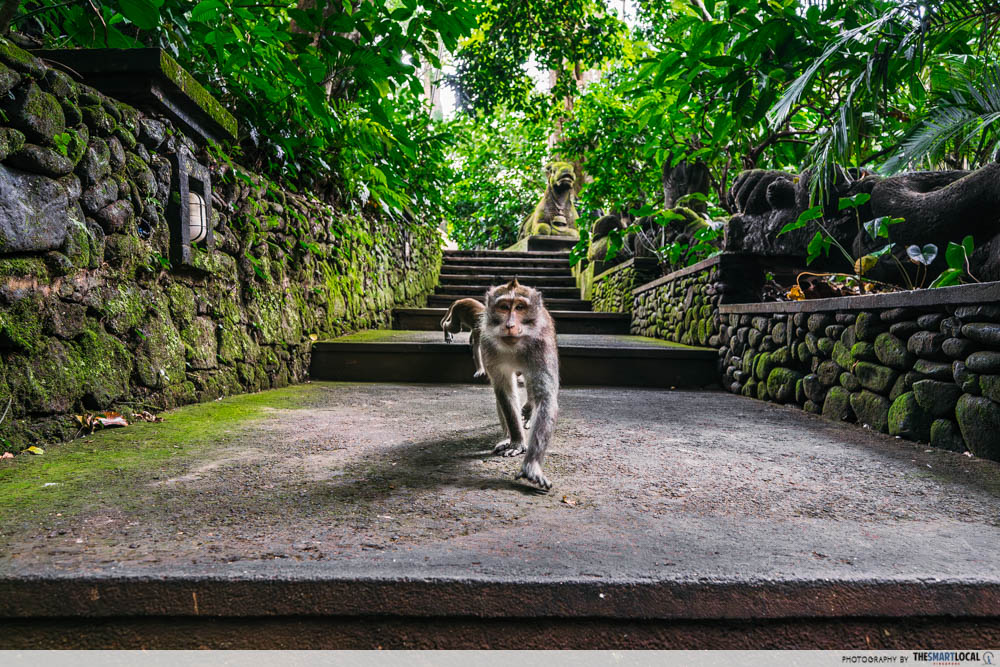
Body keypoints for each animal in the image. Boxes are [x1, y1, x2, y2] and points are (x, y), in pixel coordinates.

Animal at [479, 278, 559, 490]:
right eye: (504, 307)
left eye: (520, 307)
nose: (510, 325)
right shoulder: (487, 344)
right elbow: (504, 391)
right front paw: (516, 442)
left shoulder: (542, 345)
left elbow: (545, 396)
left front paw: (531, 465)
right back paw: (508, 437)